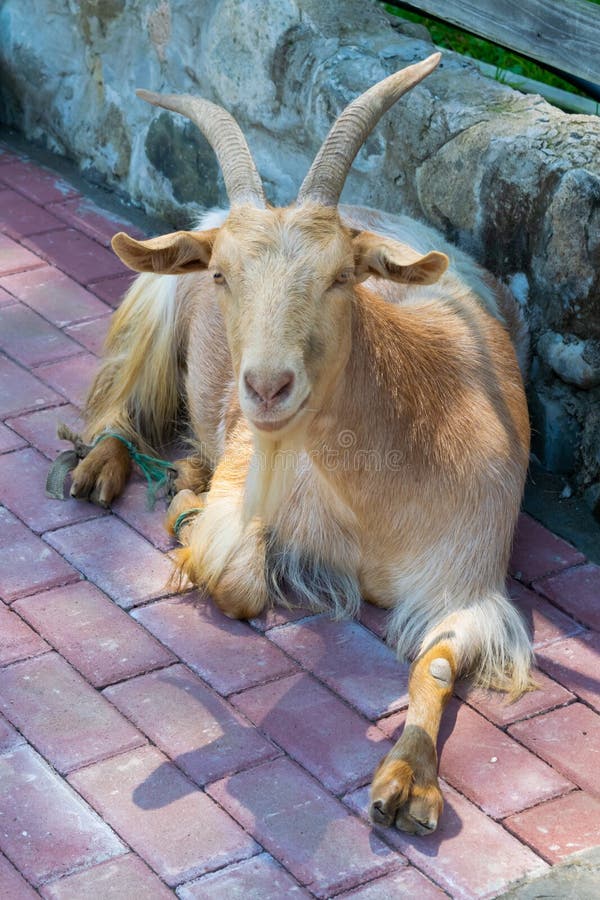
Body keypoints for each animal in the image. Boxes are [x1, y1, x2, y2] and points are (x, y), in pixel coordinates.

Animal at [68, 53, 532, 835]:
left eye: (343, 276)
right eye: (221, 274)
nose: (266, 388)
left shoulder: (470, 578)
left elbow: (436, 663)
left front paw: (408, 782)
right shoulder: (248, 491)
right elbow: (236, 579)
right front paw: (184, 512)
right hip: (155, 310)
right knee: (118, 398)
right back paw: (99, 467)